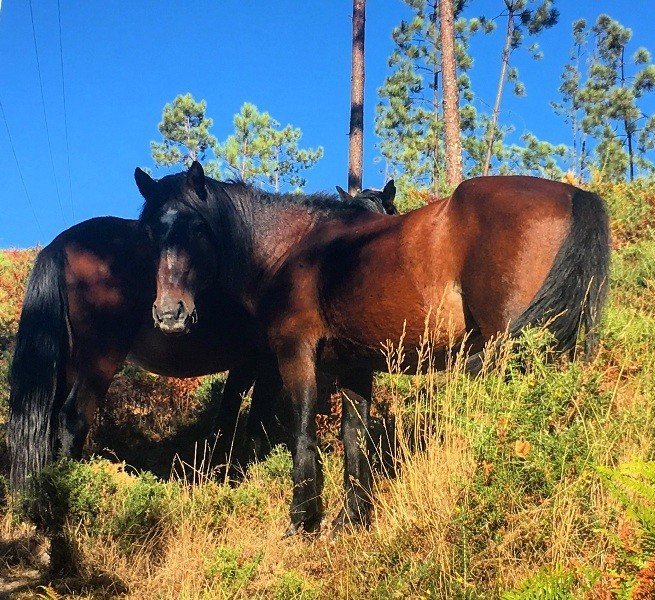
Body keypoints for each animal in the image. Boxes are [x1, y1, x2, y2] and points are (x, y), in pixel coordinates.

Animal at [7, 182, 397, 493]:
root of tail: (60, 244)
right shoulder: (270, 364)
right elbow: (256, 420)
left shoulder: (247, 365)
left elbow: (228, 418)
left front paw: (224, 475)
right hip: (99, 361)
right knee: (72, 418)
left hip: (70, 364)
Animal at [136, 162, 610, 537]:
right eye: (151, 230)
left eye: (198, 227)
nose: (169, 313)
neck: (294, 249)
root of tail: (575, 194)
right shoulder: (355, 367)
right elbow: (353, 439)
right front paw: (352, 520)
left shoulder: (296, 354)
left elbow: (303, 434)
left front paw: (301, 521)